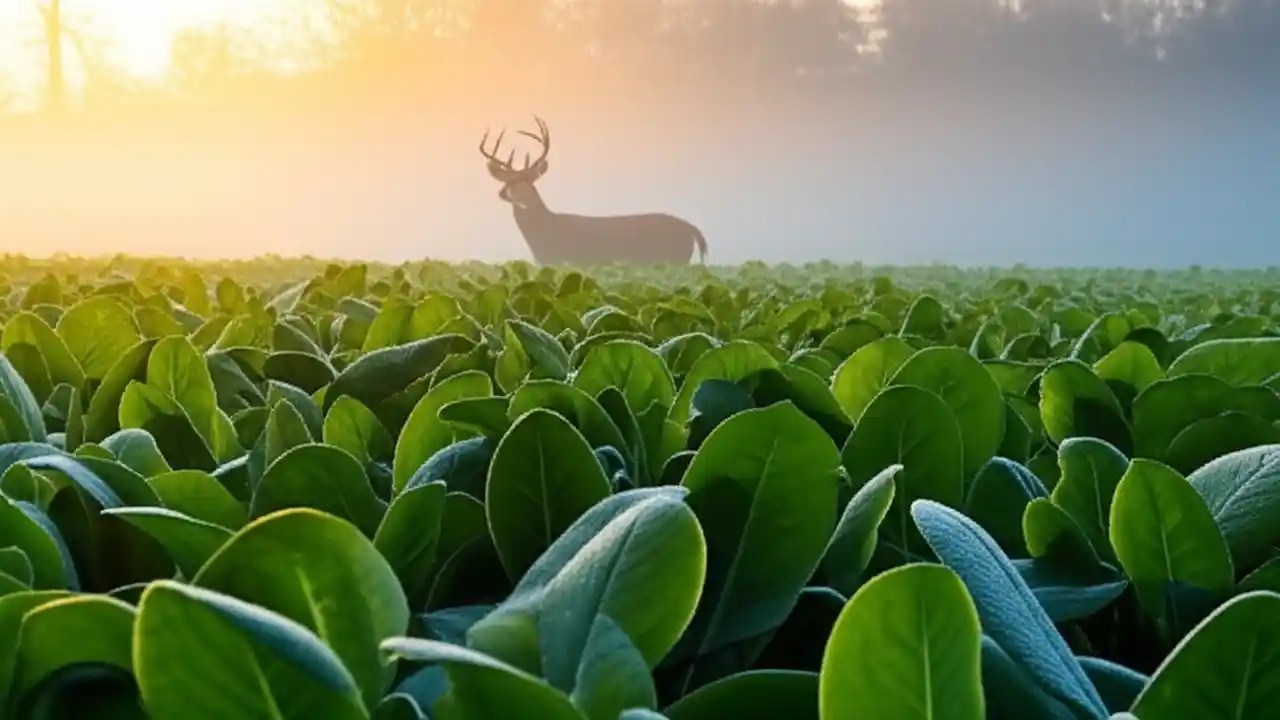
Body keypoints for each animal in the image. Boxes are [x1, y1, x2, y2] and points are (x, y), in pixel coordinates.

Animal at [480, 117, 708, 266]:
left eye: (529, 180)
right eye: (508, 180)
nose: (504, 193)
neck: (544, 232)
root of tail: (692, 228)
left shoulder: (566, 262)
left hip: (675, 259)